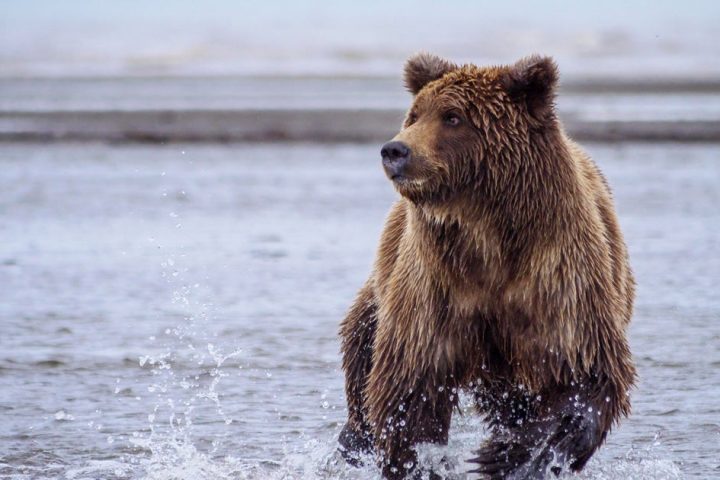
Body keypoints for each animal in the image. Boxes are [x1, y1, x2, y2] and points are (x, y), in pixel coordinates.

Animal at [337, 53, 636, 480]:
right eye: (415, 114)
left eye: (452, 117)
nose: (395, 150)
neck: (487, 237)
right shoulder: (437, 290)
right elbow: (409, 390)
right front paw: (420, 462)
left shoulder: (557, 279)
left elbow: (588, 377)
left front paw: (507, 454)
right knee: (362, 346)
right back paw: (353, 438)